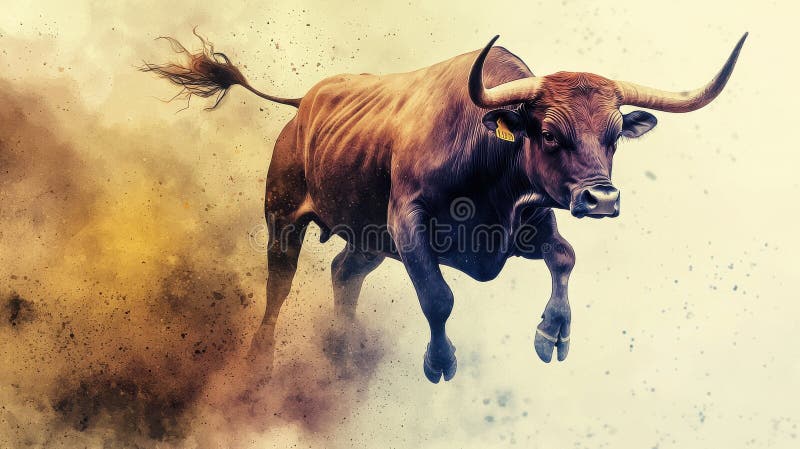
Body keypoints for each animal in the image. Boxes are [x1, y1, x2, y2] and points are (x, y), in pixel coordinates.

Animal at [143, 31, 747, 383]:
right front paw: (441, 361)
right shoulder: (407, 225)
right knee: (279, 287)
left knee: (343, 272)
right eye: (550, 132)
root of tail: (305, 102)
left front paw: (553, 333)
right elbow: (438, 297)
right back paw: (261, 363)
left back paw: (342, 354)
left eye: (616, 134)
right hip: (282, 219)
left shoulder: (528, 223)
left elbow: (565, 257)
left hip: (367, 239)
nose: (601, 197)